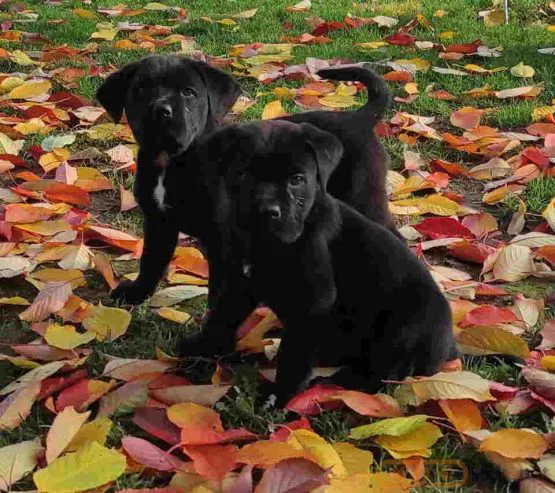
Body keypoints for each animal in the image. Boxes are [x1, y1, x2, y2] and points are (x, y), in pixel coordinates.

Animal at [96, 53, 240, 302]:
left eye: (188, 92)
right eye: (141, 89)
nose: (161, 110)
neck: (170, 163)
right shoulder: (158, 222)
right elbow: (151, 260)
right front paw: (138, 292)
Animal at [206, 119, 458, 404]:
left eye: (297, 180)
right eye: (242, 175)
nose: (267, 212)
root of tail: (449, 348)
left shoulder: (312, 303)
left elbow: (294, 354)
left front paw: (280, 395)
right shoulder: (241, 281)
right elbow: (223, 314)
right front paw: (200, 347)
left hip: (409, 322)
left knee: (388, 373)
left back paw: (344, 381)